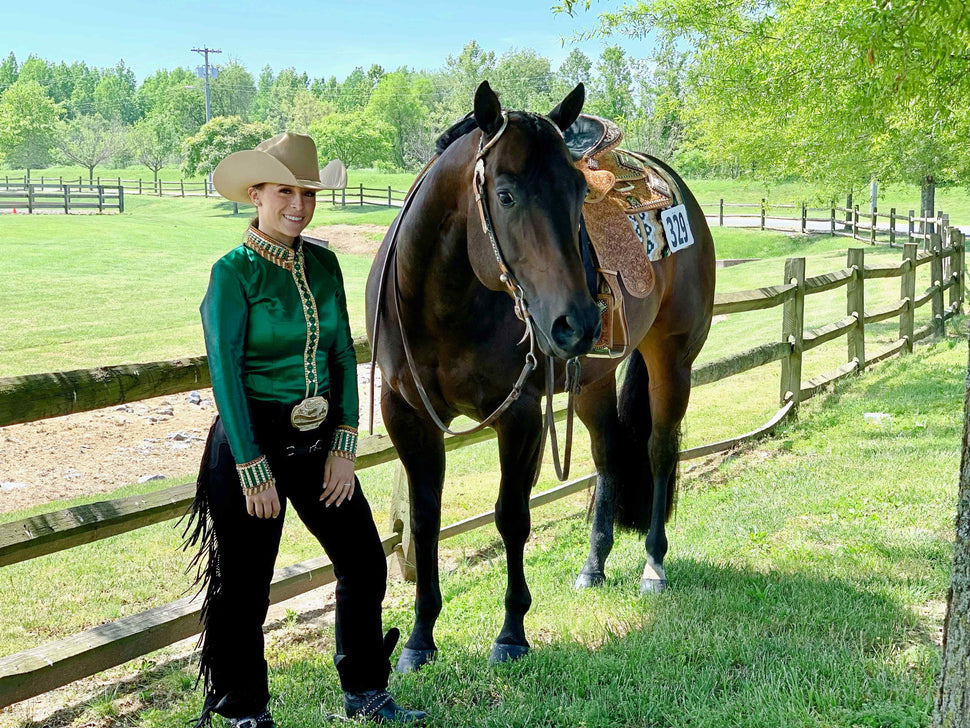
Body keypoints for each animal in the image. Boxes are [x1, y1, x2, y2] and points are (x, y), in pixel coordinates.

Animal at [365, 80, 716, 671]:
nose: (578, 320)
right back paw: (593, 565)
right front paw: (419, 640)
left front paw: (511, 633)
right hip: (591, 380)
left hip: (672, 360)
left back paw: (653, 564)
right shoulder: (407, 414)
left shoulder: (522, 414)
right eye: (505, 196)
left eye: (578, 193)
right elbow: (425, 519)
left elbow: (512, 516)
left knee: (660, 449)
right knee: (608, 456)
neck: (443, 303)